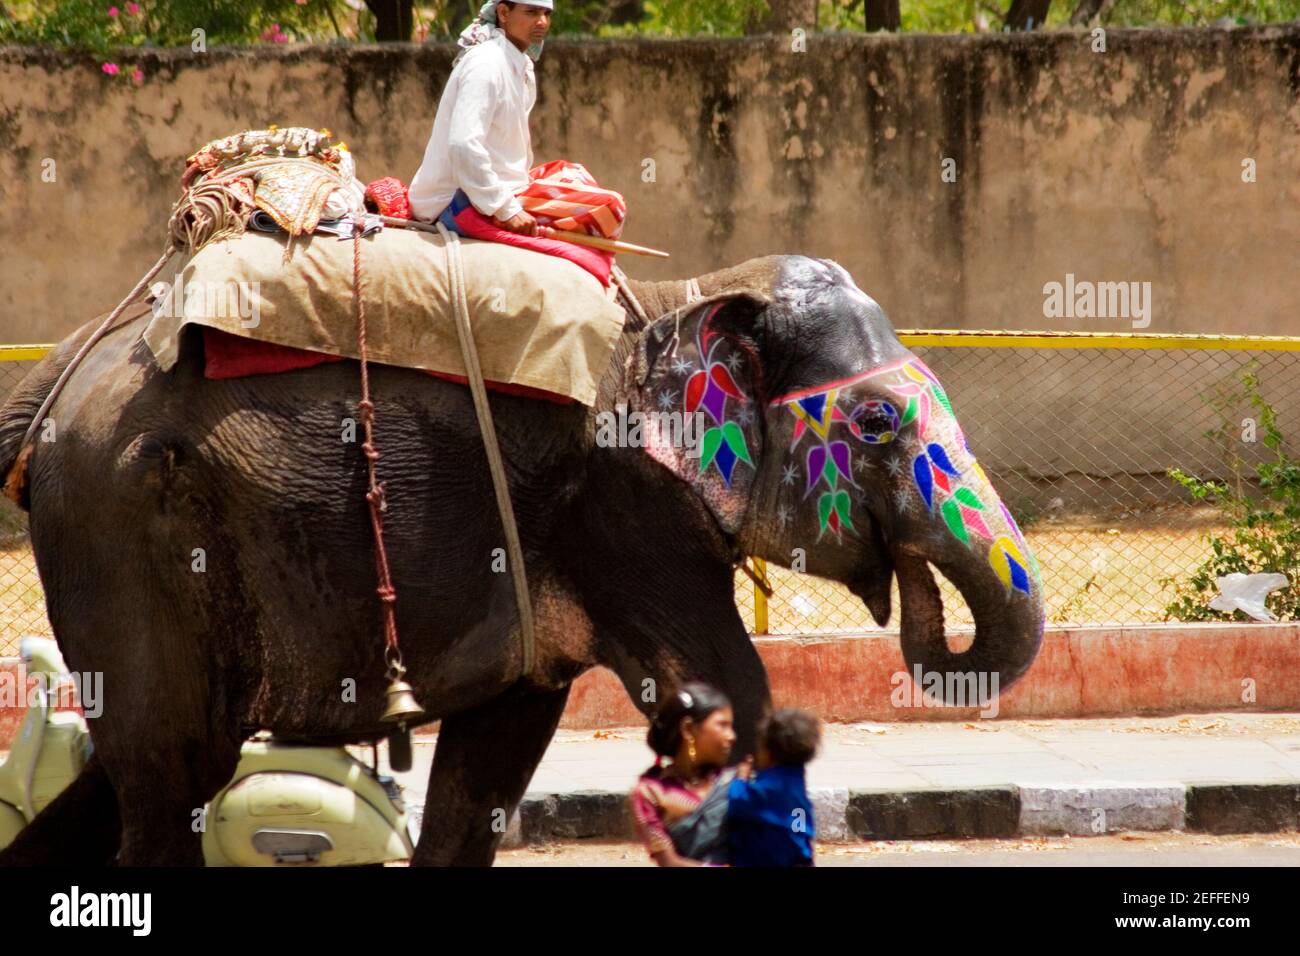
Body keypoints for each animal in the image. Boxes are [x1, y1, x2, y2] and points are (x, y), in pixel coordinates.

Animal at [0, 253, 1043, 865]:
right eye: (875, 424)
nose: (914, 601)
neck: (690, 294)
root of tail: (57, 377)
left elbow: (496, 759)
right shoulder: (624, 510)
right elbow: (731, 696)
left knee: (145, 767)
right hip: (126, 529)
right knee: (173, 765)